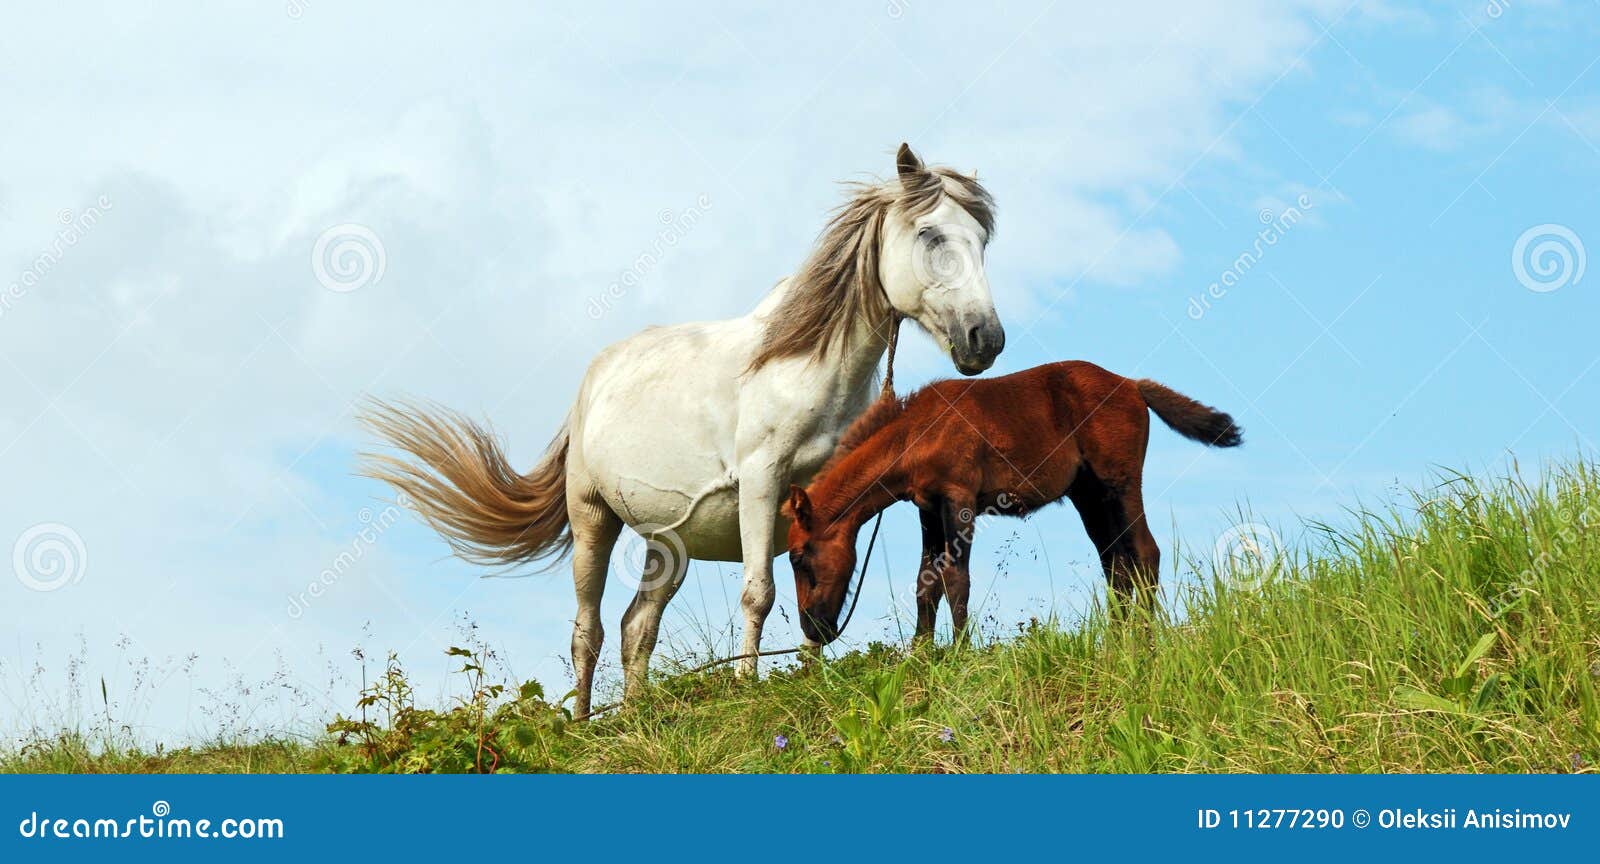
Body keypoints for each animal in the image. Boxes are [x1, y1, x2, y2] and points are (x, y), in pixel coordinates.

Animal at [360, 144, 1005, 717]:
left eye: (981, 242)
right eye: (930, 235)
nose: (985, 339)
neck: (805, 367)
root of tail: (593, 381)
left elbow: (822, 583)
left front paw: (810, 677)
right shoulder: (761, 480)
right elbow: (759, 591)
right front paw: (748, 686)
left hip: (668, 544)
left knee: (636, 626)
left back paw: (634, 715)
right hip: (593, 518)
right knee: (589, 629)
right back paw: (582, 722)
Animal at [782, 360, 1242, 644]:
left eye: (799, 556)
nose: (814, 628)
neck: (920, 430)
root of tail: (1132, 385)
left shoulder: (959, 499)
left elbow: (957, 581)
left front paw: (959, 652)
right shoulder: (927, 508)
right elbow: (925, 583)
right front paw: (920, 654)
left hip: (1121, 484)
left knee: (1145, 553)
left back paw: (1143, 641)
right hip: (1090, 497)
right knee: (1116, 563)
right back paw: (1116, 639)